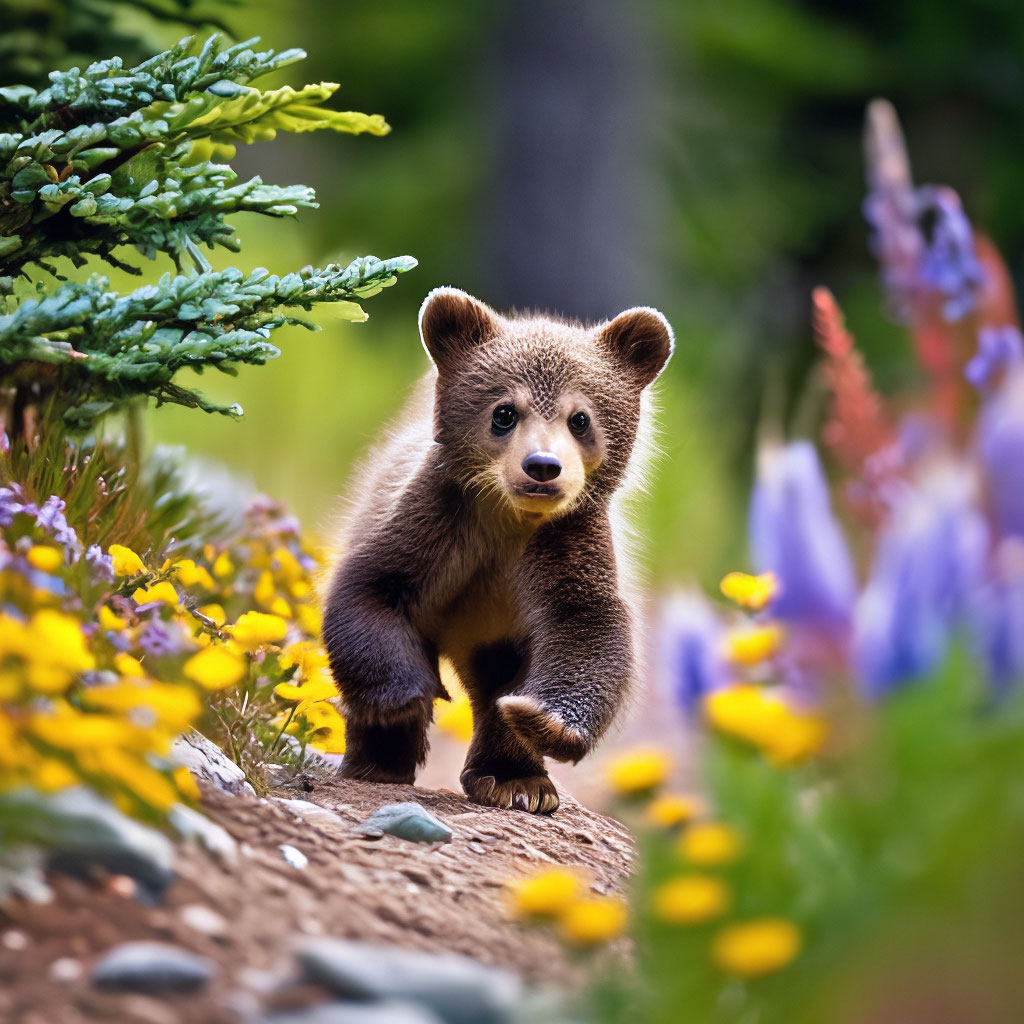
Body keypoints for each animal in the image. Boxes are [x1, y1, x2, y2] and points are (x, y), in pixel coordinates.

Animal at [322, 287, 672, 814]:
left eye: (581, 418)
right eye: (504, 412)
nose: (542, 466)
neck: (509, 522)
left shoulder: (564, 545)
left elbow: (589, 629)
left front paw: (544, 721)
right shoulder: (438, 525)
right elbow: (370, 591)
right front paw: (405, 701)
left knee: (497, 691)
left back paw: (515, 780)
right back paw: (378, 761)